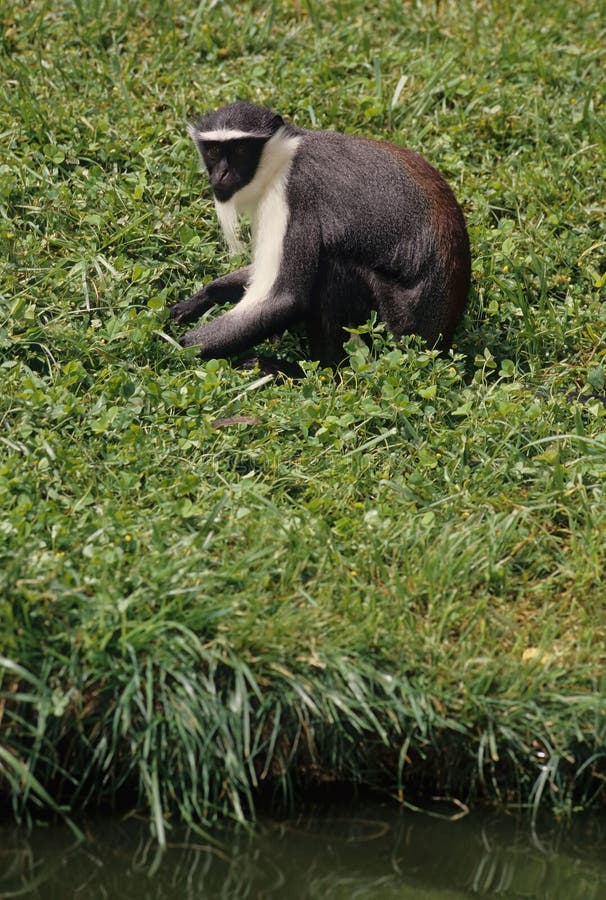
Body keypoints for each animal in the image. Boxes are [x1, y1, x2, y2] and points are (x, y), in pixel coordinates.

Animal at [168, 101, 471, 369]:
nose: (221, 173)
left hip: (396, 323)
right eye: (213, 150)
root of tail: (439, 340)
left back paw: (314, 370)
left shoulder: (293, 195)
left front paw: (168, 350)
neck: (285, 155)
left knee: (330, 265)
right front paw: (198, 300)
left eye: (241, 149)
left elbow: (285, 299)